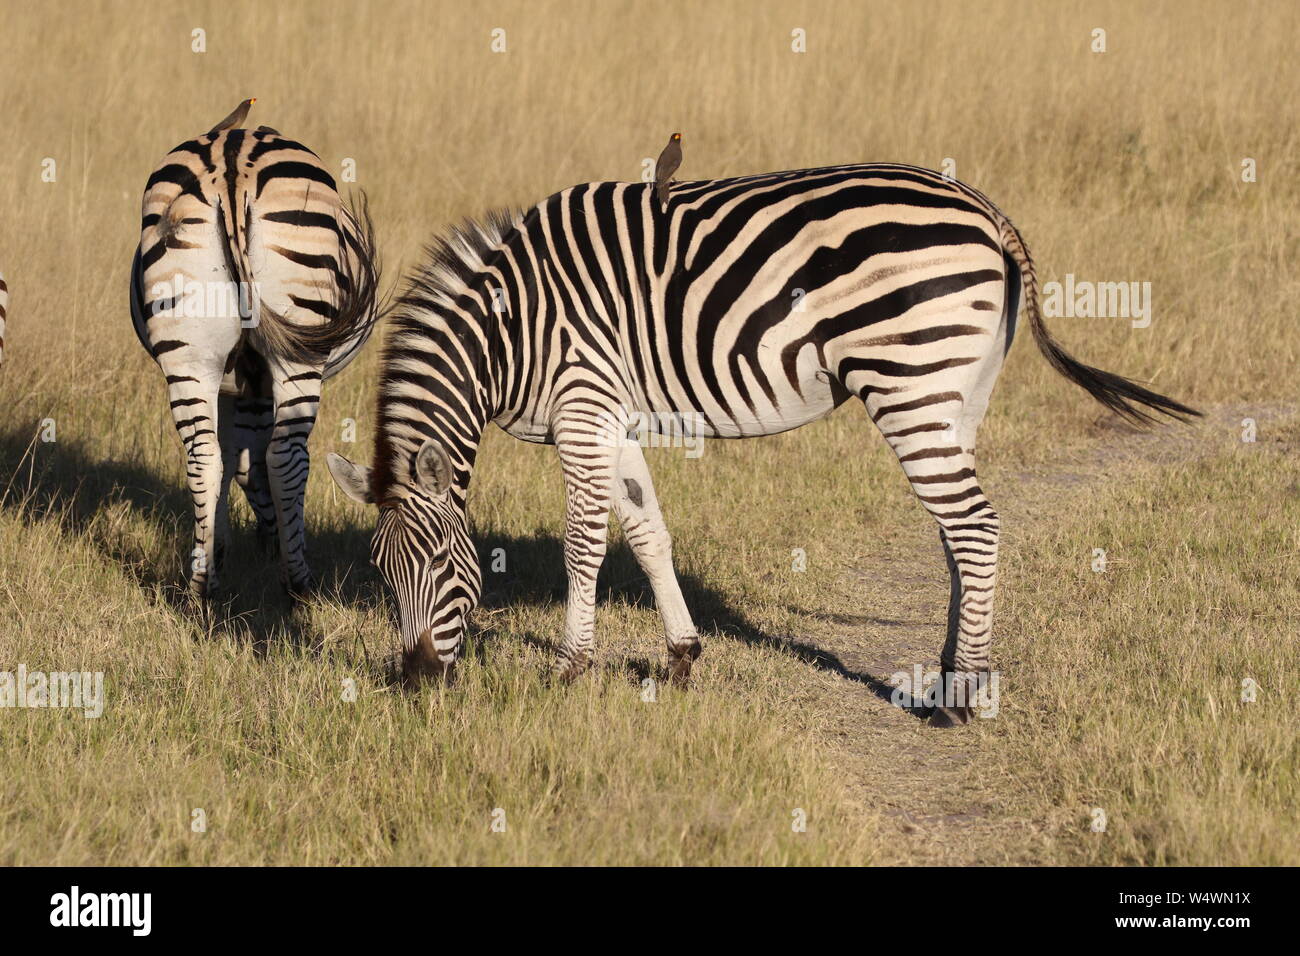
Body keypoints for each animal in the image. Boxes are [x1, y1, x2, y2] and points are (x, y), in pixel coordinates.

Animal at [131, 120, 380, 600]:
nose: (267, 545)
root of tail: (230, 164)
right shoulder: (256, 388)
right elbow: (254, 462)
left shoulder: (233, 384)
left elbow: (232, 459)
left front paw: (217, 548)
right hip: (296, 354)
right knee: (287, 457)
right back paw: (298, 581)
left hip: (189, 352)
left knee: (202, 457)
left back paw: (202, 586)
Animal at [327, 162, 1196, 721]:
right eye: (380, 571)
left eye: (443, 564)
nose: (415, 682)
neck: (509, 332)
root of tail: (986, 211)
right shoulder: (615, 415)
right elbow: (647, 530)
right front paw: (680, 656)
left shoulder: (582, 408)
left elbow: (585, 542)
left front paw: (573, 668)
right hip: (958, 392)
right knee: (958, 532)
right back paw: (949, 673)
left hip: (910, 379)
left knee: (975, 526)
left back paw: (967, 696)